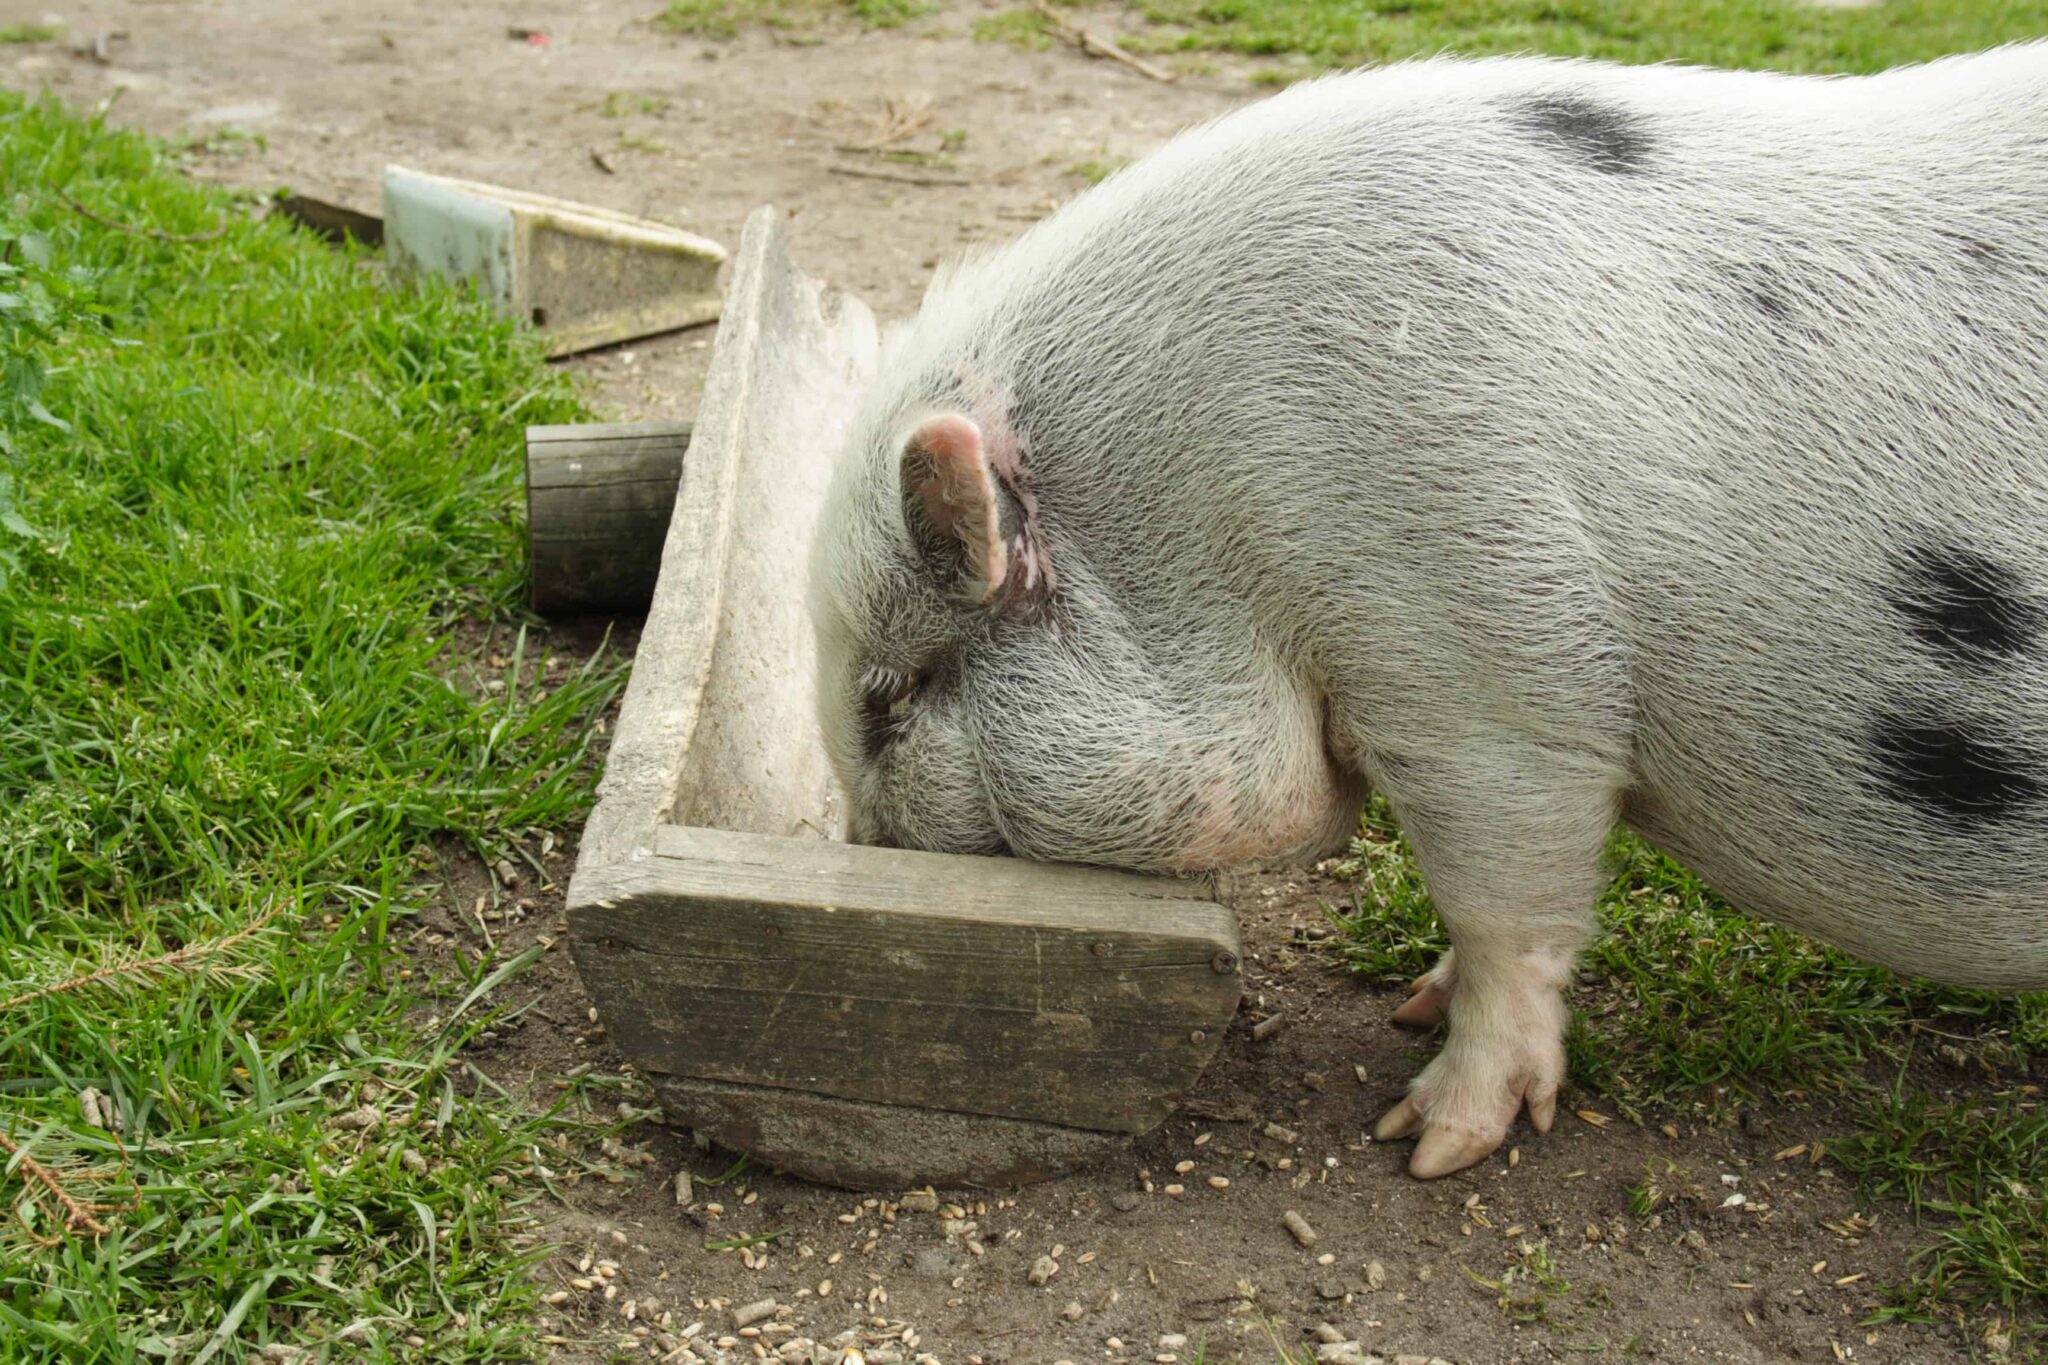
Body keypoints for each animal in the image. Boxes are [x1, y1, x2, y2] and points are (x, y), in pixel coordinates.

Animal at [805, 45, 2048, 1178]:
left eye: (891, 695)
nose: (860, 853)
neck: (1210, 526)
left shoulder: (1486, 677)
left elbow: (1501, 911)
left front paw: (1423, 1142)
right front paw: (1412, 1005)